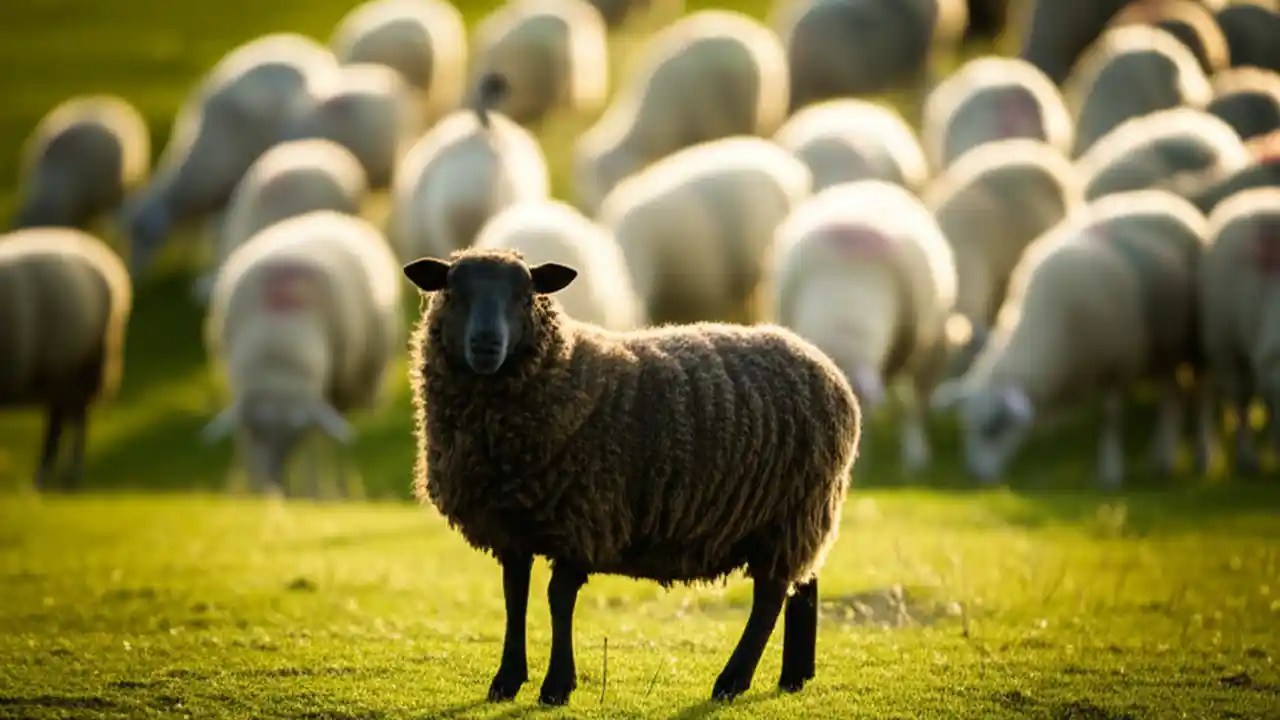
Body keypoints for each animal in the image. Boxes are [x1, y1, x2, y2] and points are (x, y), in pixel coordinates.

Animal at [201, 211, 402, 496]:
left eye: (296, 435)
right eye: (258, 431)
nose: (275, 481)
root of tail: (328, 215)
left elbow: (315, 452)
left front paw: (315, 493)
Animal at [403, 248, 861, 705]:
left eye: (524, 295)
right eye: (453, 291)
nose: (486, 344)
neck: (564, 374)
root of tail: (825, 365)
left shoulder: (585, 517)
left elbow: (558, 598)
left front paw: (556, 685)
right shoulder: (511, 525)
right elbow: (514, 595)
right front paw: (506, 680)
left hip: (790, 511)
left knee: (770, 597)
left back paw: (732, 681)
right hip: (801, 514)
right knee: (804, 585)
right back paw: (794, 676)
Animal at [932, 190, 1211, 487]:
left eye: (994, 429)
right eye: (968, 428)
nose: (976, 476)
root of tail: (1166, 199)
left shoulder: (1116, 363)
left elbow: (1110, 420)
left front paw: (1110, 472)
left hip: (1191, 340)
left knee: (1197, 393)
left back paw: (1199, 456)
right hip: (1162, 343)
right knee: (1172, 393)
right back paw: (1161, 458)